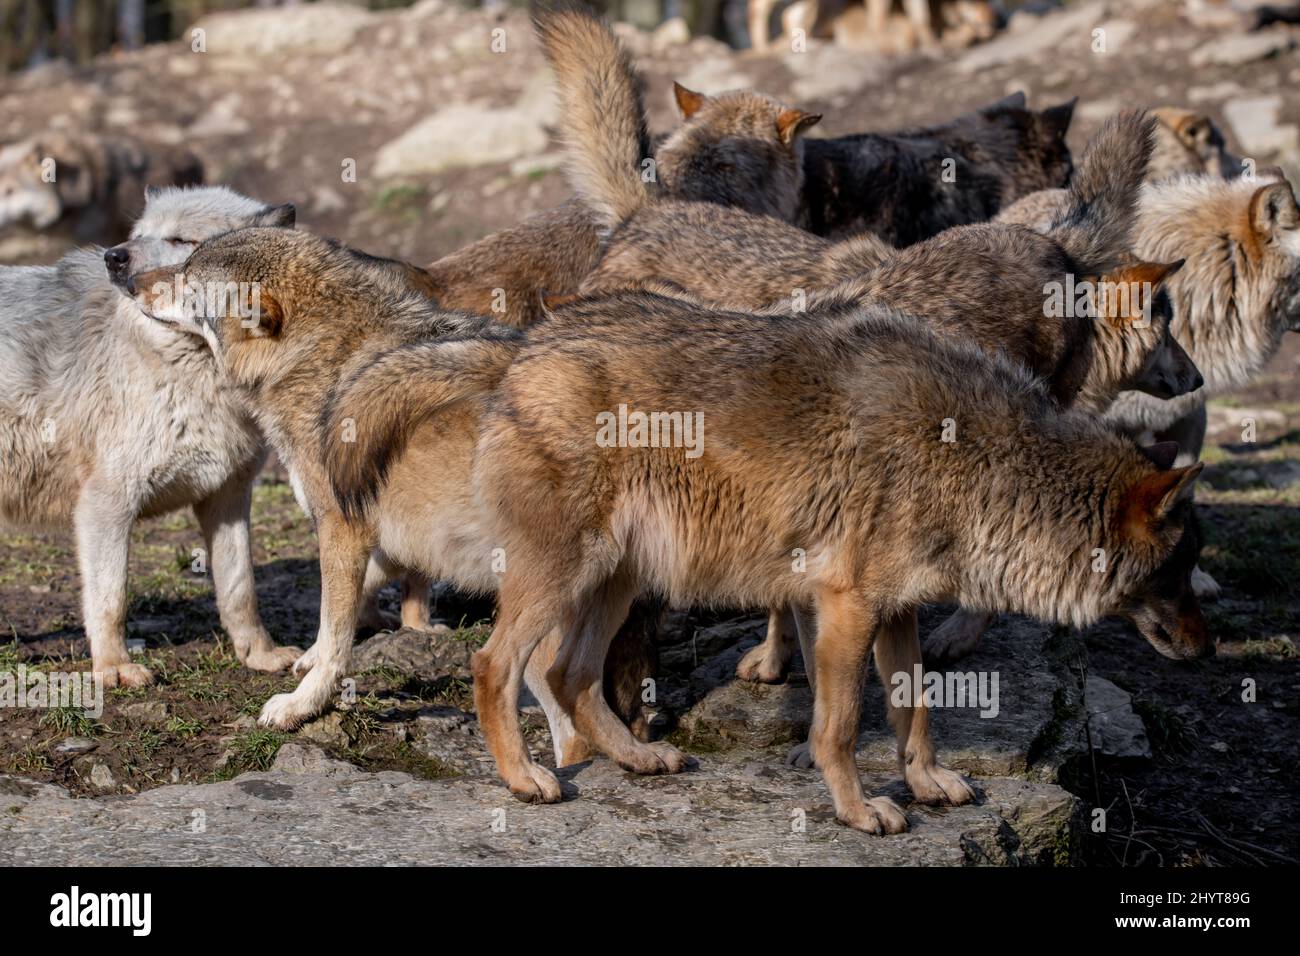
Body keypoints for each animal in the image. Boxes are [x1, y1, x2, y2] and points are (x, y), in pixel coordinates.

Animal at [0, 186, 297, 687]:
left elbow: (241, 590)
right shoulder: (105, 504)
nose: (114, 257)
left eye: (181, 240)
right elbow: (111, 599)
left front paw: (260, 654)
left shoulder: (227, 495)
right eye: (138, 234)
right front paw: (113, 668)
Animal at [459, 290, 1209, 827]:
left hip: (618, 581)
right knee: (496, 664)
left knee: (568, 675)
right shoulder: (848, 606)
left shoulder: (898, 610)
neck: (977, 459)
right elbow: (841, 726)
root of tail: (526, 349)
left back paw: (640, 758)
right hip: (566, 578)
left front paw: (924, 784)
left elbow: (915, 711)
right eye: (1179, 570)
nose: (1206, 650)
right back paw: (525, 780)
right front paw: (856, 812)